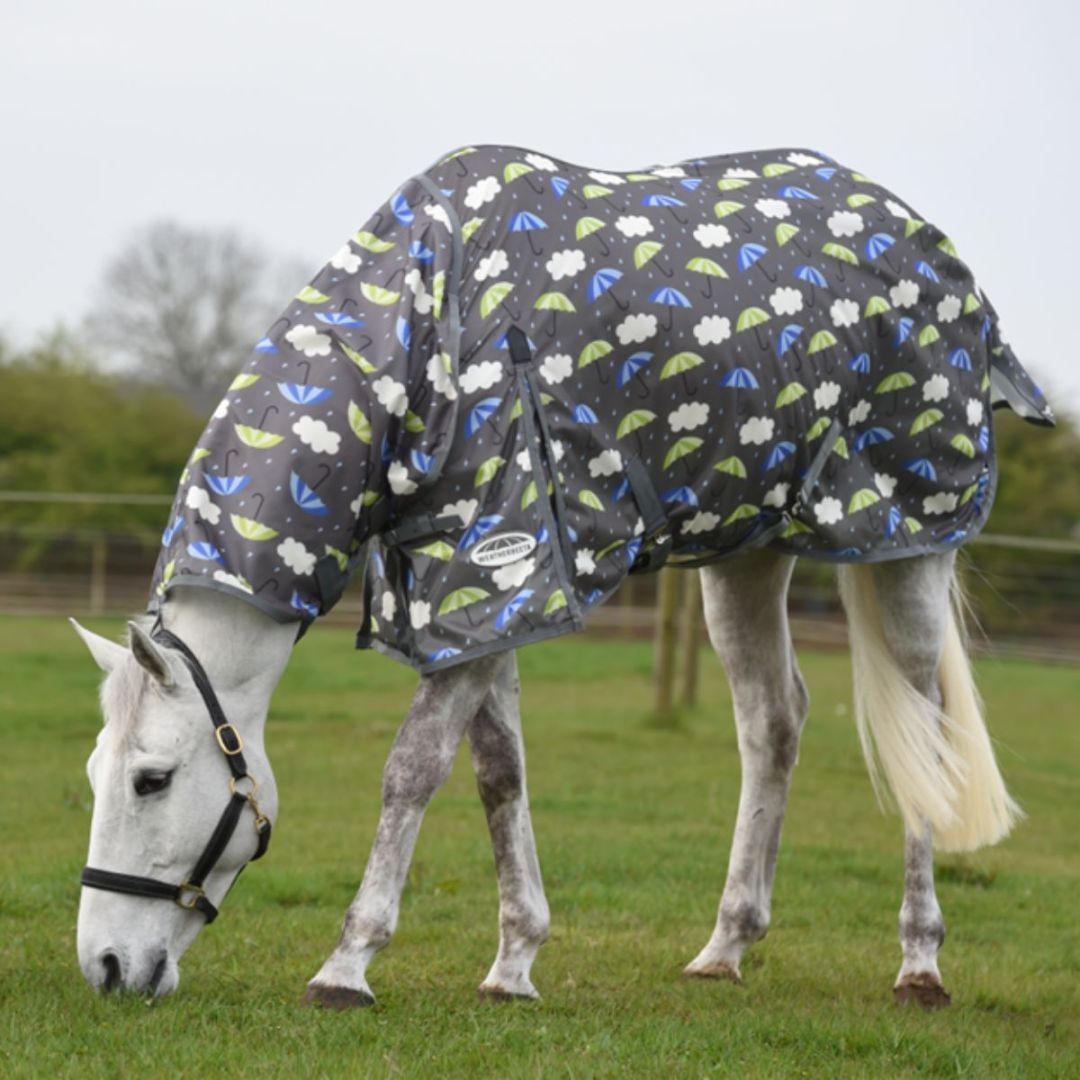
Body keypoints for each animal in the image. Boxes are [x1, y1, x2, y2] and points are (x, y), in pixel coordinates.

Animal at [72, 144, 1050, 1007]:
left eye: (151, 779)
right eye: (93, 773)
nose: (107, 968)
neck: (434, 327)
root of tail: (929, 245)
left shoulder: (499, 559)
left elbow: (412, 769)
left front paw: (347, 966)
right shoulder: (482, 596)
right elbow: (497, 772)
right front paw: (514, 964)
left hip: (912, 542)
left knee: (924, 728)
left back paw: (920, 964)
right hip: (747, 553)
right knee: (773, 722)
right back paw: (725, 949)